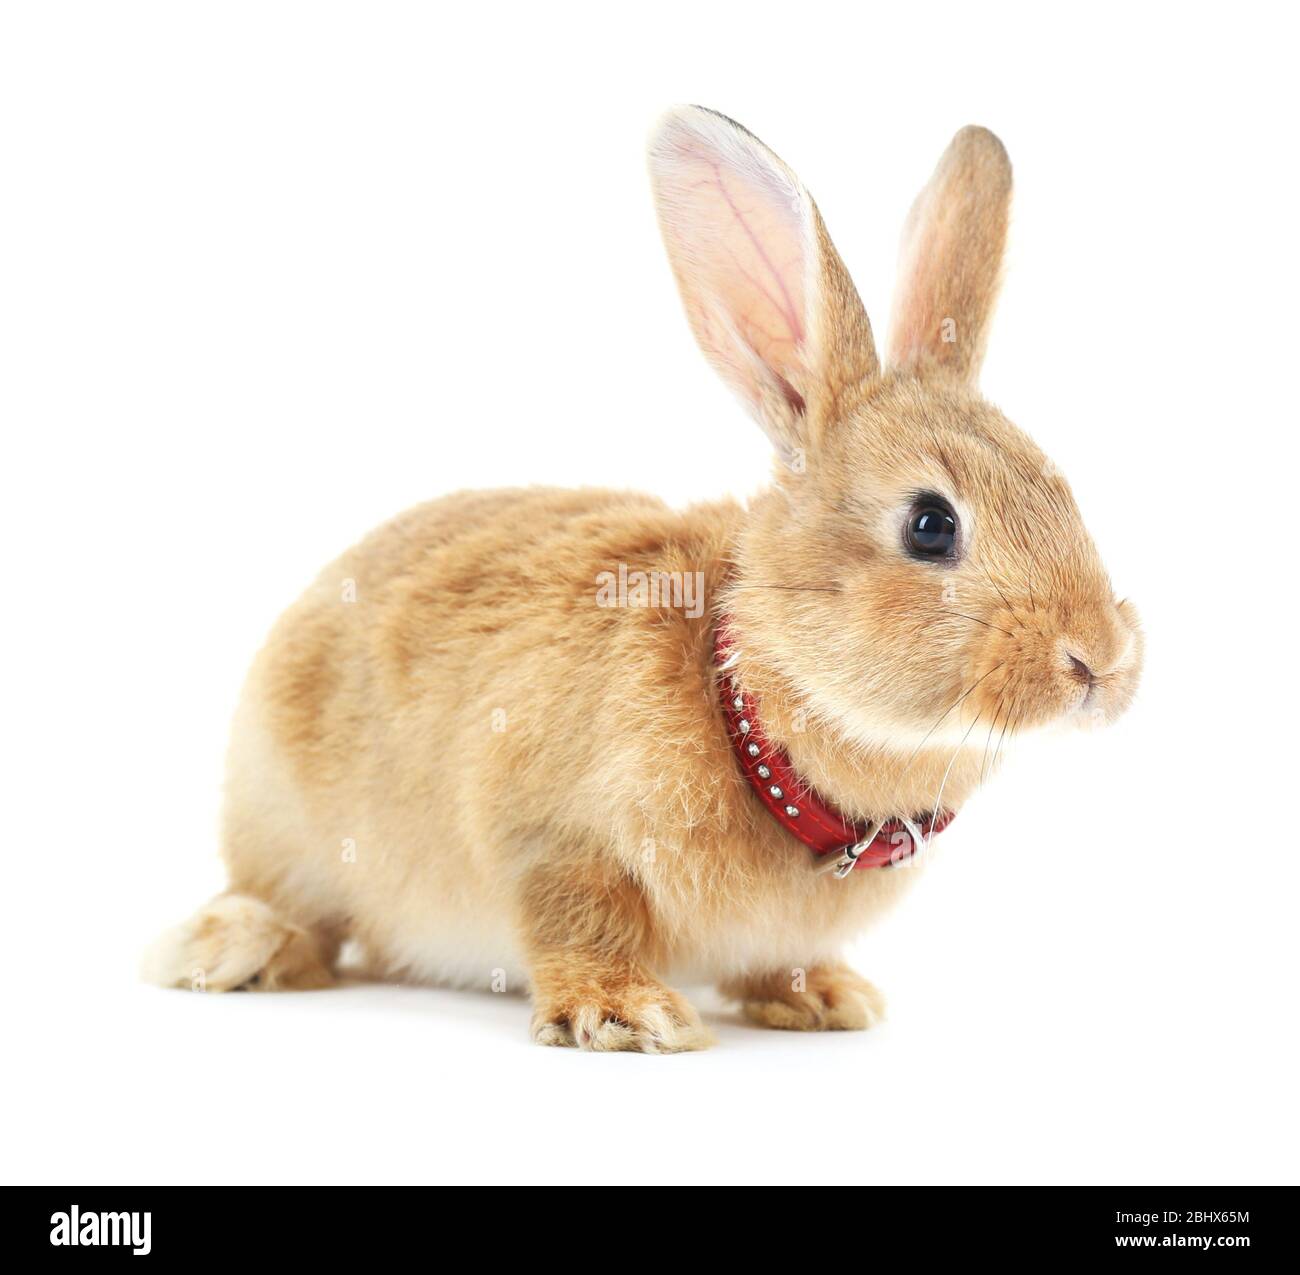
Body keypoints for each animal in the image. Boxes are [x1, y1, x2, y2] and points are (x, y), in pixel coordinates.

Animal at [144, 106, 1142, 1052]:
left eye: (1060, 486)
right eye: (931, 526)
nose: (1099, 660)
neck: (750, 703)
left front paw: (827, 997)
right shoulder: (552, 840)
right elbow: (578, 924)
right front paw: (627, 1016)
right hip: (289, 831)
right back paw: (230, 950)